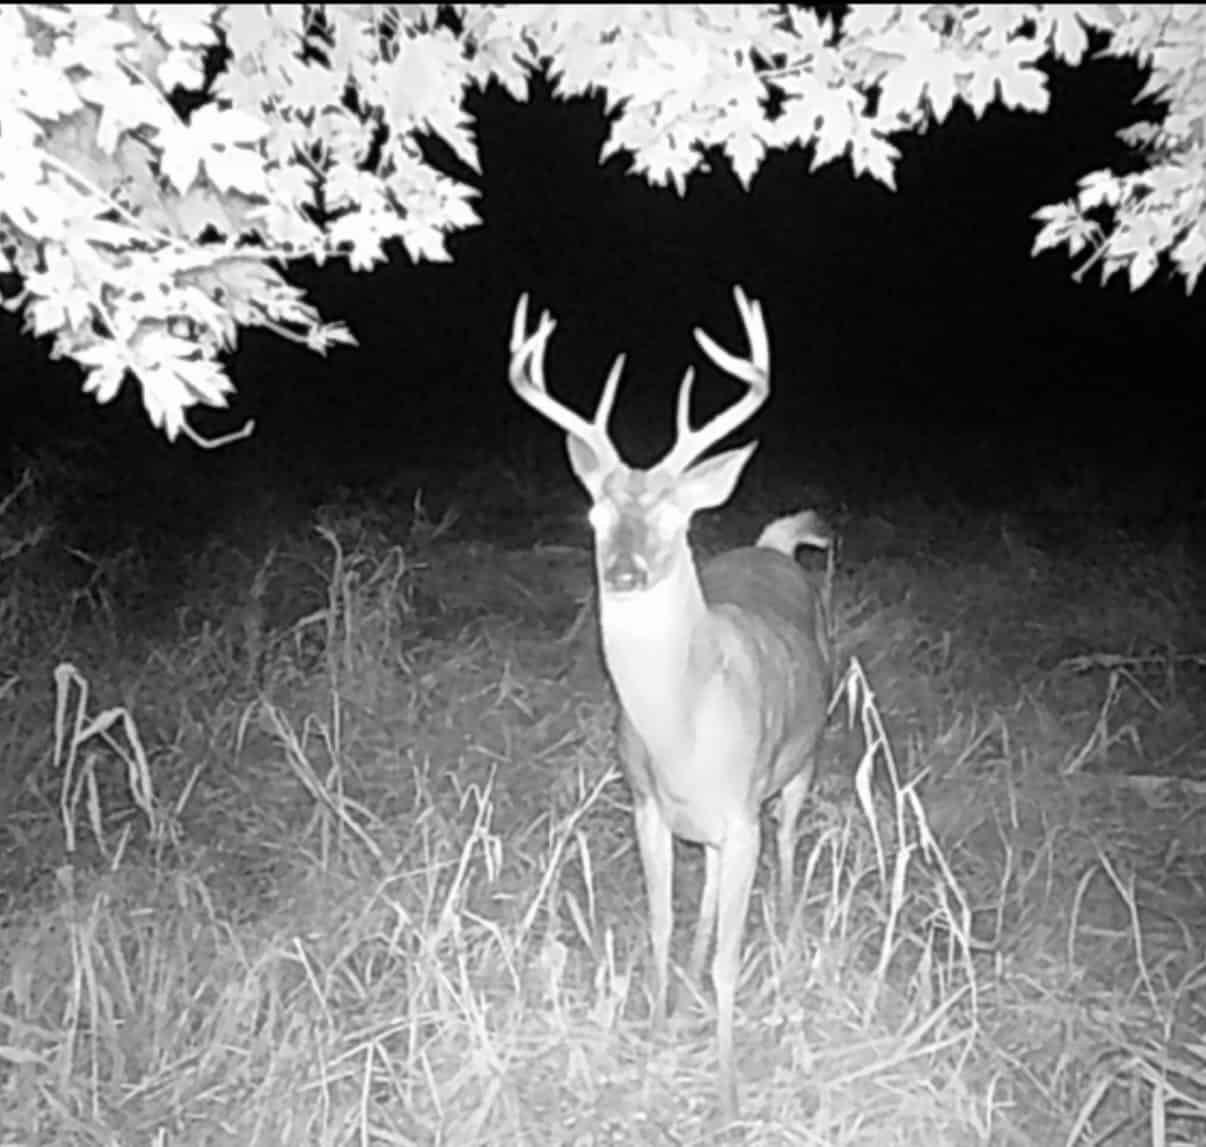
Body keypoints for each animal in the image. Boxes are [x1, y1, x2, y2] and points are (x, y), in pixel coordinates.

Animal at [507, 286, 833, 1121]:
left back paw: (789, 943)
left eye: (675, 517)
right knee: (711, 892)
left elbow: (728, 957)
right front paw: (655, 1043)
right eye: (595, 515)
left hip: (801, 764)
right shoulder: (647, 805)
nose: (623, 571)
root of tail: (775, 549)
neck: (682, 728)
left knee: (789, 849)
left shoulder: (743, 813)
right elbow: (659, 928)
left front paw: (727, 1092)